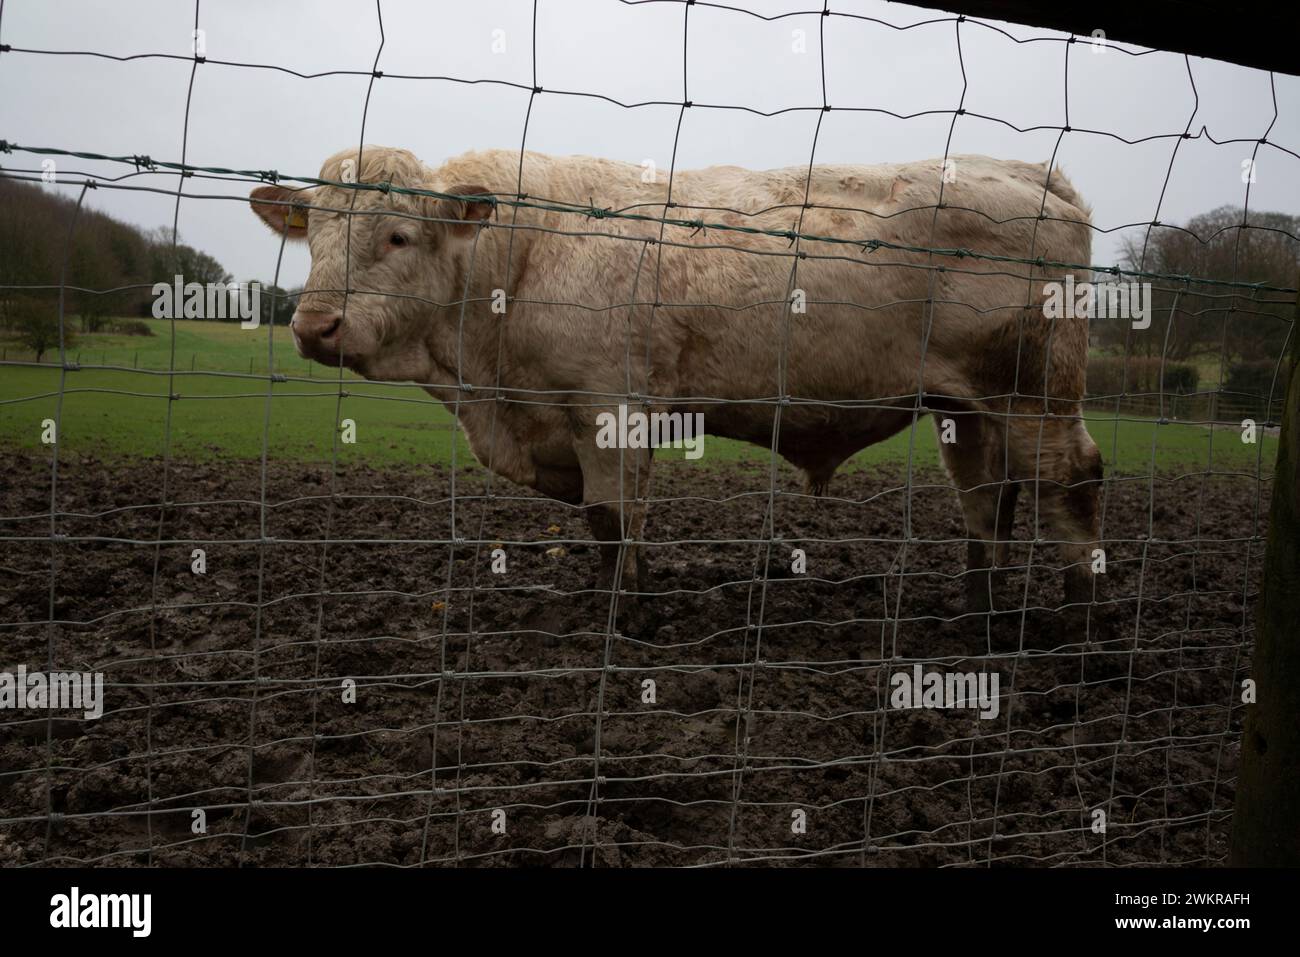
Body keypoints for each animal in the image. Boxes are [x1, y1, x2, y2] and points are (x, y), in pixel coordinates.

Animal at [248, 146, 1102, 613]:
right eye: (314, 234)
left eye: (397, 235)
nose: (314, 324)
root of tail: (1032, 171)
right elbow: (621, 521)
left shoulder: (605, 407)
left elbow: (610, 517)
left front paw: (622, 620)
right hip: (965, 406)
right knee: (988, 500)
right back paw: (974, 615)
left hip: (1037, 392)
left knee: (1072, 478)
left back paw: (1077, 619)